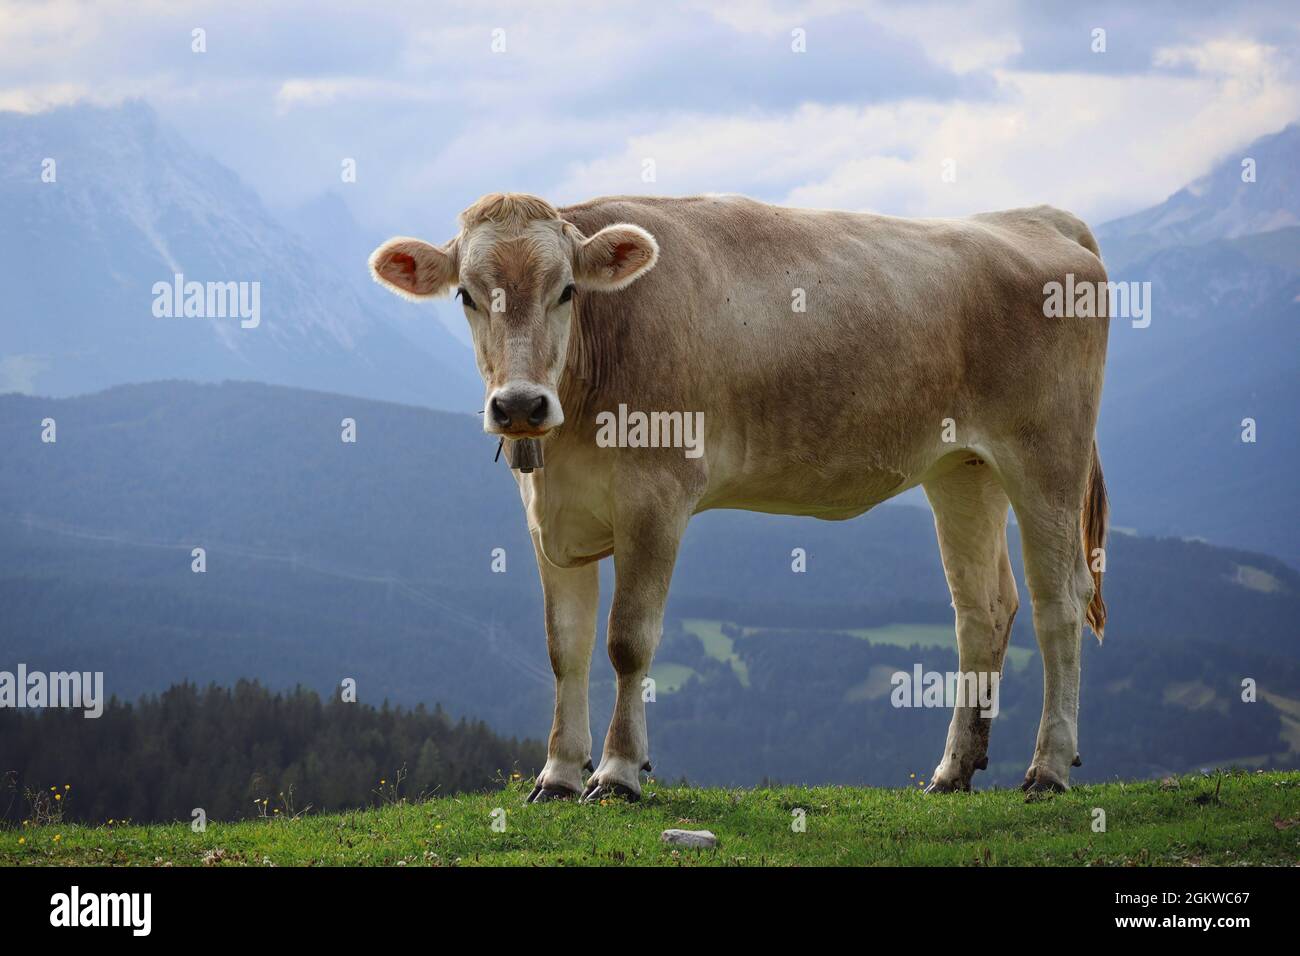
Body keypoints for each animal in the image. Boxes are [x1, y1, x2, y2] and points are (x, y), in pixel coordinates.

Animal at [369, 192, 1109, 801]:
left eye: (568, 290)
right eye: (467, 295)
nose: (520, 405)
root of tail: (1036, 218)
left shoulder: (657, 499)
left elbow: (627, 641)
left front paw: (617, 772)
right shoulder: (550, 522)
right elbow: (564, 648)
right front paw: (556, 775)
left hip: (1047, 453)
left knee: (1059, 601)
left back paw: (1047, 768)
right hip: (963, 468)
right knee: (982, 608)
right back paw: (954, 769)